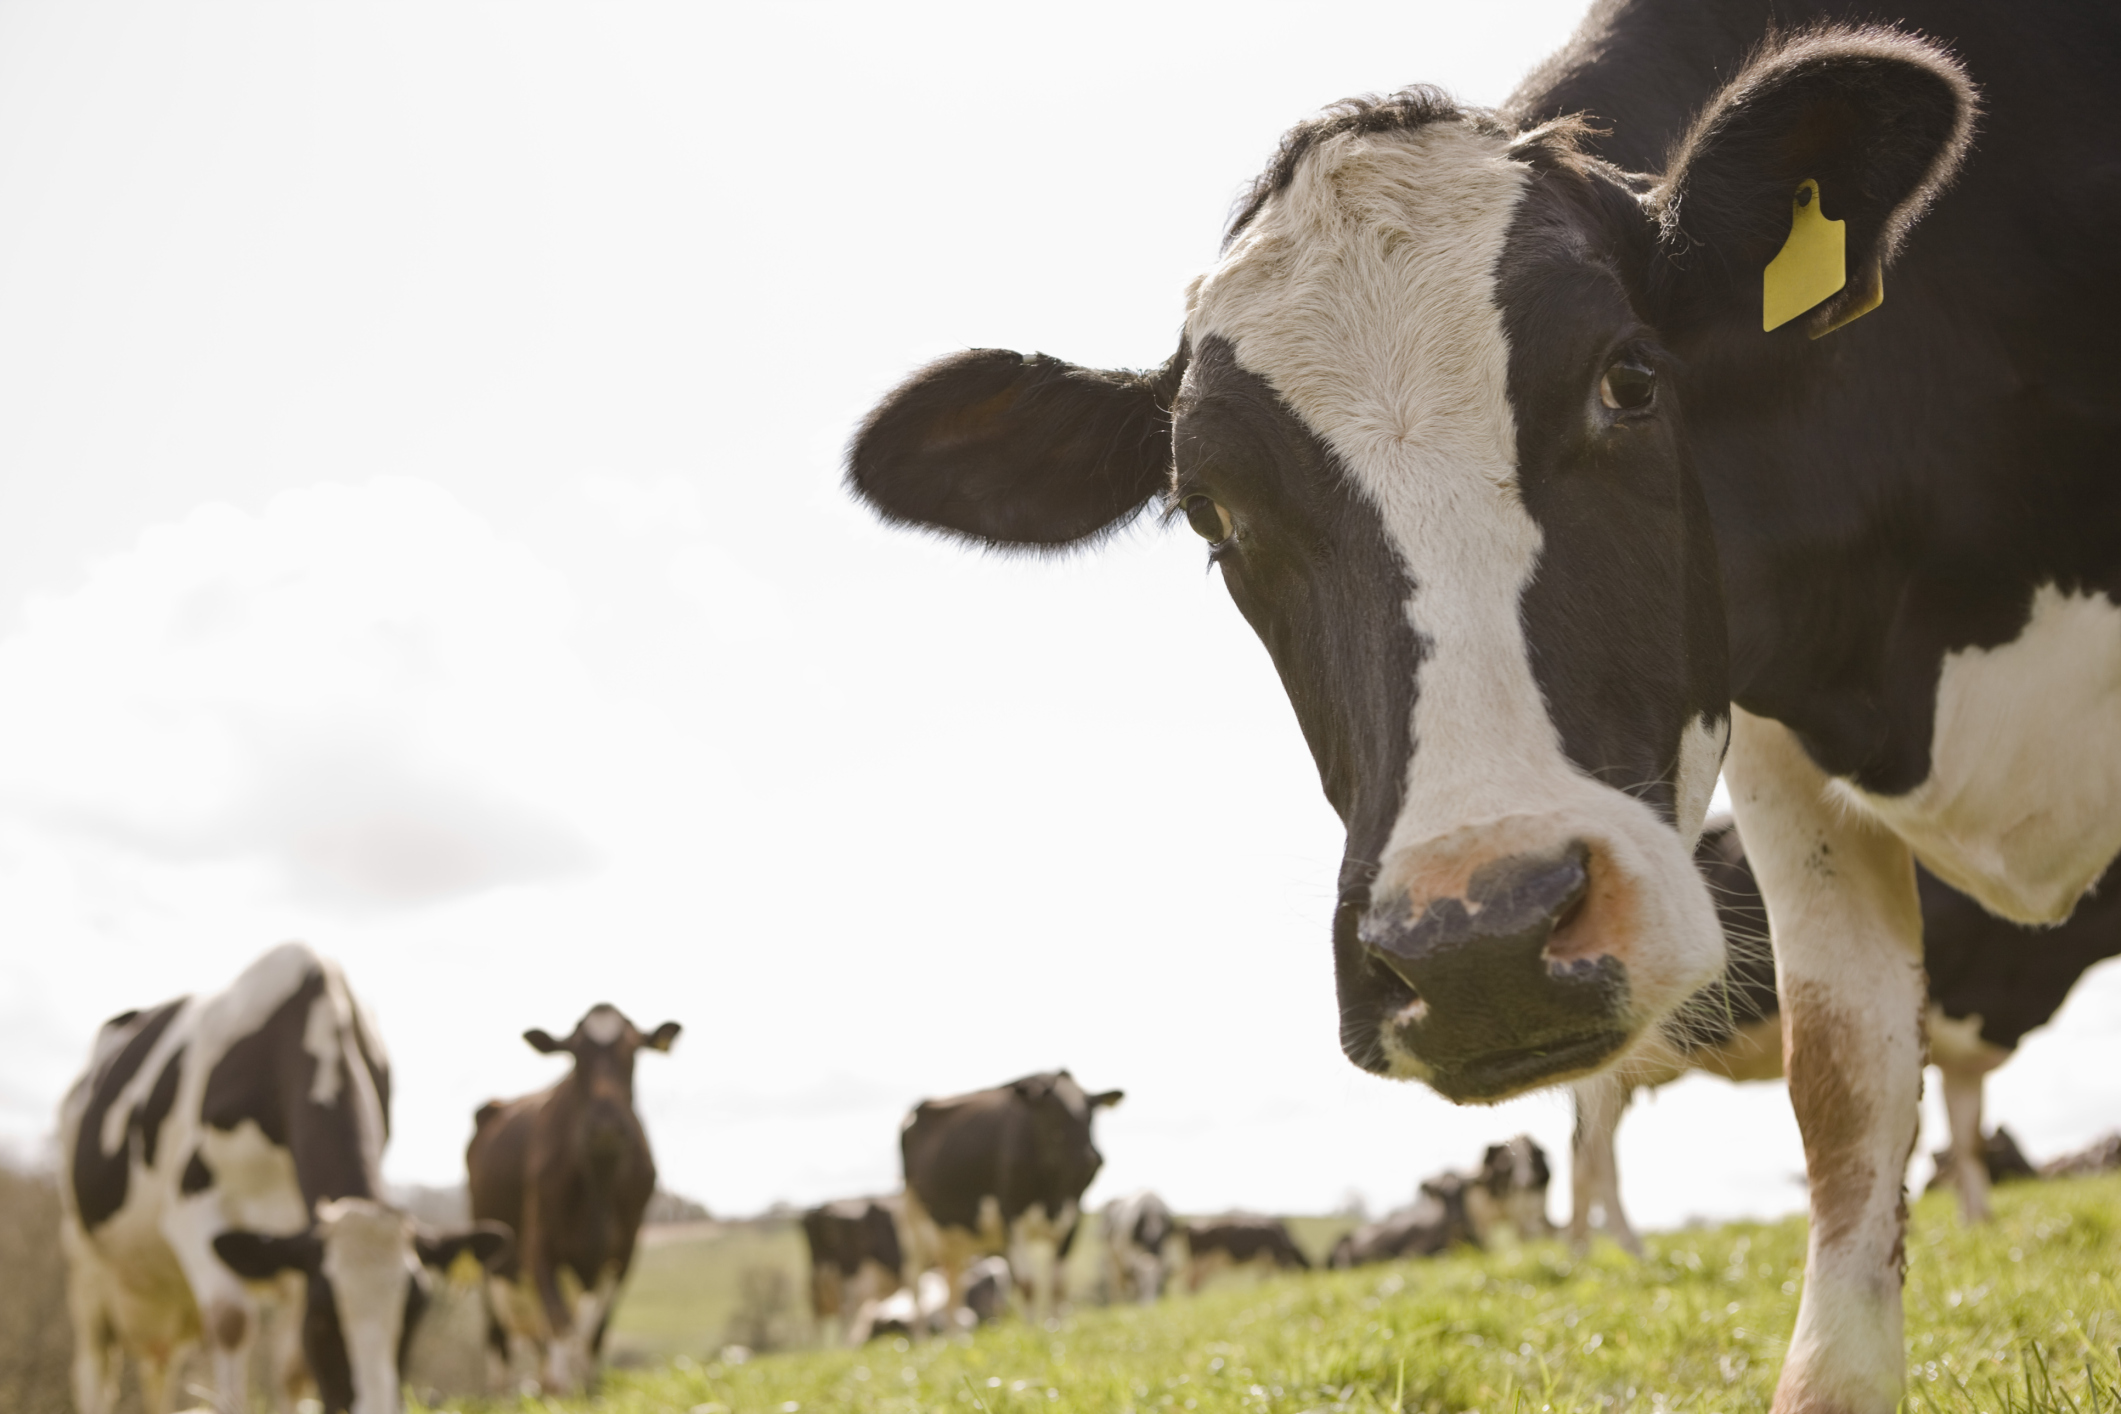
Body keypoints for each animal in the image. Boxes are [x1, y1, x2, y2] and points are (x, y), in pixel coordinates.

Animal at [56, 942, 508, 1414]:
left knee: (159, 1369)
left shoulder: (295, 1240)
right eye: (324, 1318)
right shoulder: (193, 1212)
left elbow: (293, 1368)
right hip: (84, 1263)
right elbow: (231, 1322)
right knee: (94, 1367)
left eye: (414, 1314)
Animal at [467, 1004, 680, 1394]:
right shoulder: (538, 1246)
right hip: (488, 1254)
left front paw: (590, 1388)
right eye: (576, 1056)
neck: (599, 1180)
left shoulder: (623, 1253)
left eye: (632, 1053)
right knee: (499, 1337)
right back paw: (503, 1393)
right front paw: (562, 1392)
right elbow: (561, 1323)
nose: (606, 1126)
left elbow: (594, 1332)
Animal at [800, 1195, 905, 1343]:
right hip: (849, 1279)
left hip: (817, 1281)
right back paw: (844, 1343)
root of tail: (823, 1210)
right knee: (847, 1309)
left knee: (818, 1314)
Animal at [898, 1070, 1121, 1323]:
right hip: (913, 1228)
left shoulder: (1073, 1217)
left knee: (953, 1289)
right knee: (916, 1288)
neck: (1051, 1190)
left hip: (955, 1238)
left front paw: (1058, 1326)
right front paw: (1033, 1329)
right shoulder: (1011, 1219)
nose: (1092, 1157)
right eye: (1054, 1113)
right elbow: (1027, 1284)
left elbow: (1058, 1285)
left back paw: (957, 1333)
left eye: (1090, 1114)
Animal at [1570, 821, 2121, 1252]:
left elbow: (1968, 1143)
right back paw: (1611, 1253)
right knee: (1591, 1155)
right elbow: (1907, 1135)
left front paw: (1979, 1226)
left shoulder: (1964, 1047)